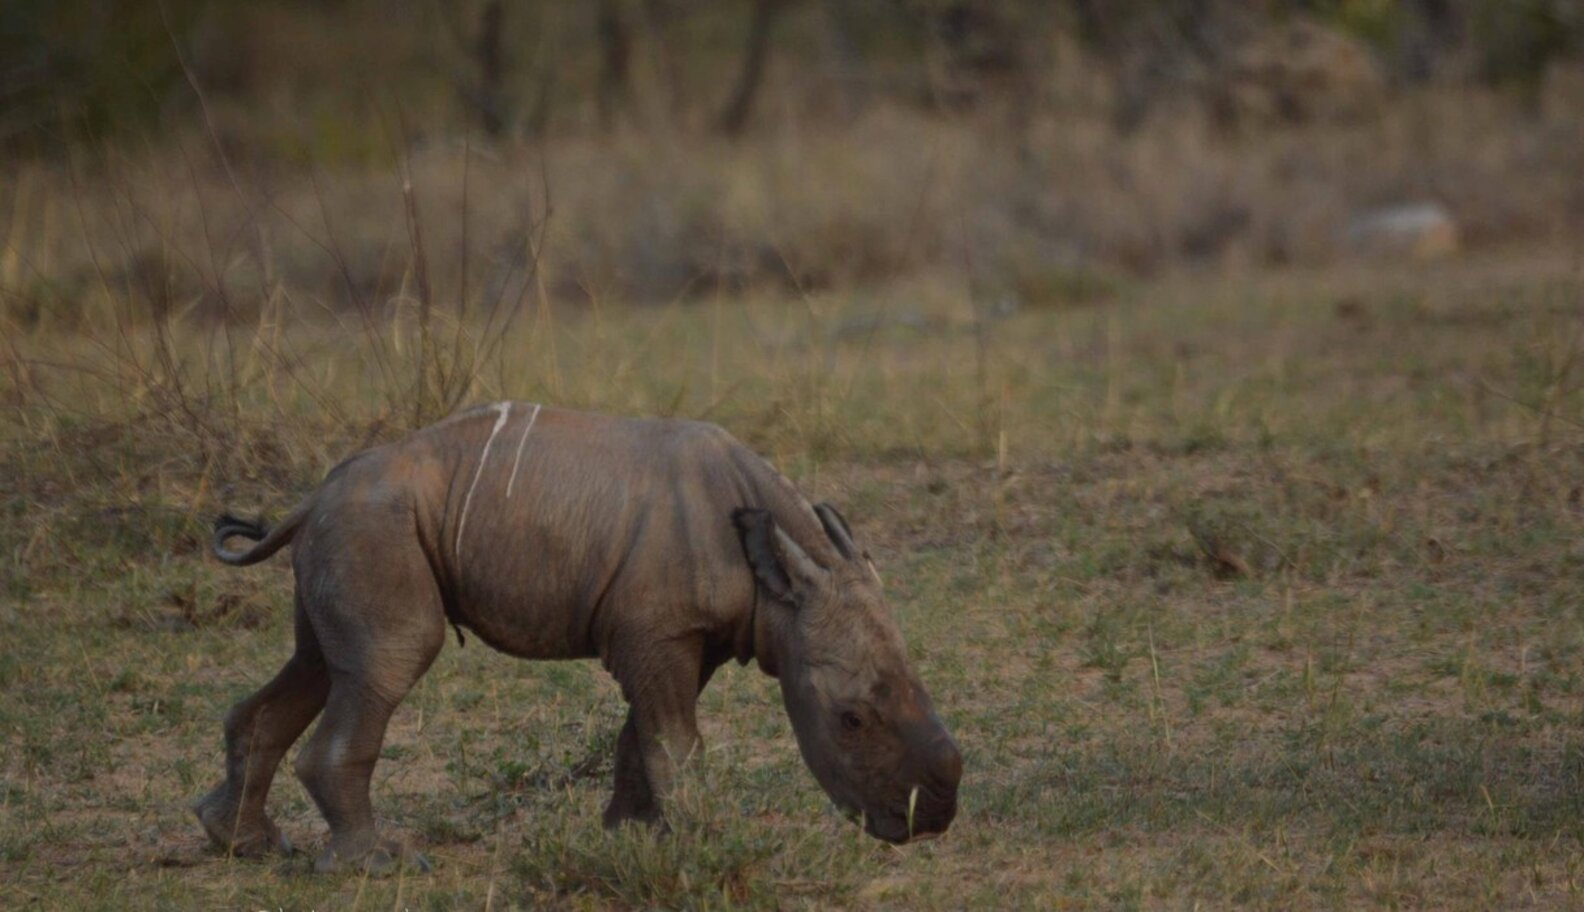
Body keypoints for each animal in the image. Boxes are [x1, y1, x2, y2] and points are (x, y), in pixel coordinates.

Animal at [194, 402, 962, 872]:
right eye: (851, 720)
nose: (931, 820)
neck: (779, 587)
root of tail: (308, 500)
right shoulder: (658, 633)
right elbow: (673, 740)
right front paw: (702, 842)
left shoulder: (678, 633)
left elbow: (643, 737)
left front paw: (629, 835)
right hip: (372, 523)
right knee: (389, 659)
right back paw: (376, 866)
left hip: (352, 525)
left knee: (319, 662)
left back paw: (246, 844)